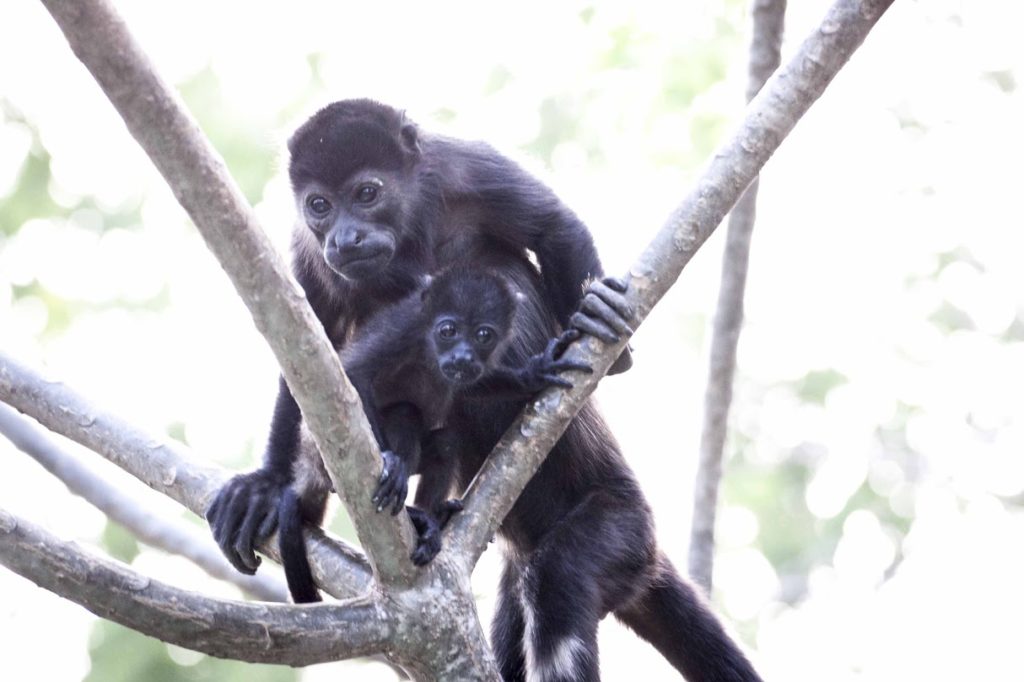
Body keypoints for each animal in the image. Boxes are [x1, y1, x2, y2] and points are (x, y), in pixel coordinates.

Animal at [277, 267, 592, 602]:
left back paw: (430, 520)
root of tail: (307, 462)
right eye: (448, 330)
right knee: (404, 414)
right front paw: (389, 460)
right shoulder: (403, 329)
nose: (464, 356)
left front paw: (533, 375)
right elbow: (355, 375)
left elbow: (473, 384)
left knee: (445, 444)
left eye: (484, 335)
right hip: (325, 458)